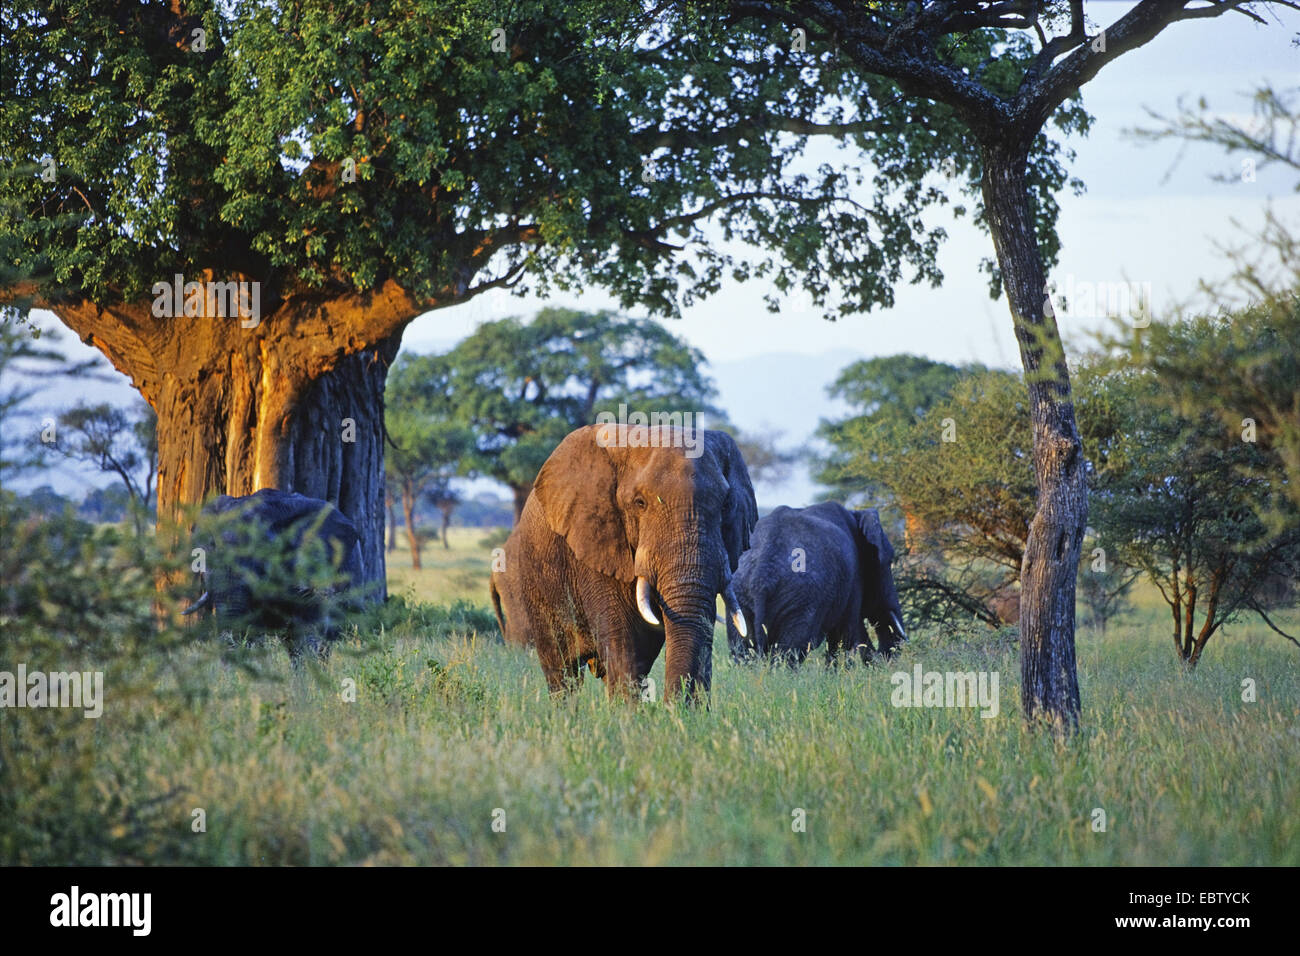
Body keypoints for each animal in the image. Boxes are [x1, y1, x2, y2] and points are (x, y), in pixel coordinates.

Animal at [489, 423, 757, 703]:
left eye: (725, 505)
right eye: (640, 503)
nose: (673, 708)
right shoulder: (595, 539)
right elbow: (622, 637)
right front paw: (629, 715)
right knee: (562, 668)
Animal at [725, 502, 906, 665]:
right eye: (889, 560)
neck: (855, 515)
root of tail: (762, 575)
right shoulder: (854, 576)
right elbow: (847, 632)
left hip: (741, 596)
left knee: (743, 651)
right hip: (801, 598)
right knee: (790, 653)